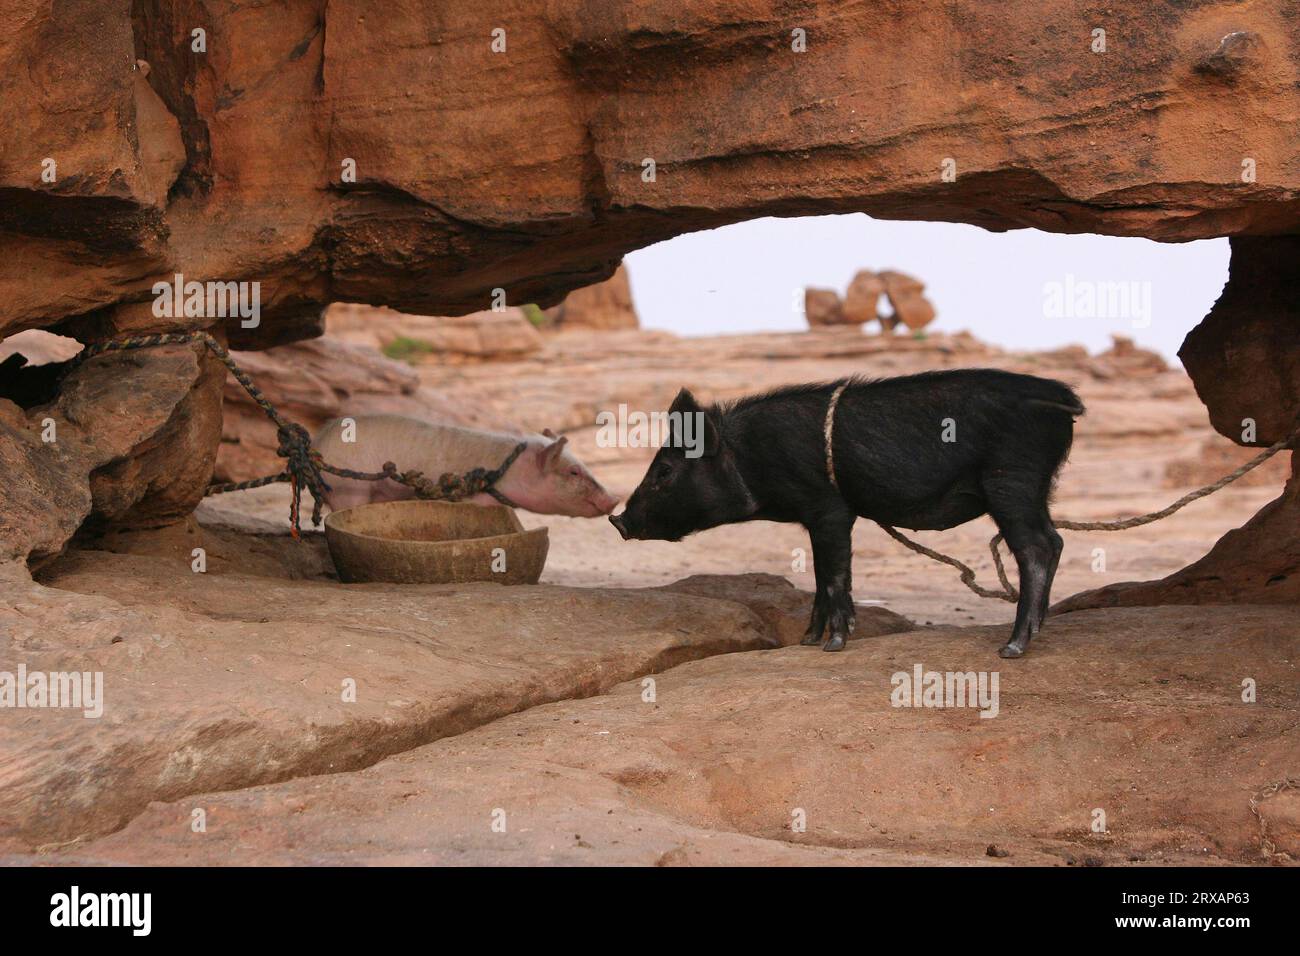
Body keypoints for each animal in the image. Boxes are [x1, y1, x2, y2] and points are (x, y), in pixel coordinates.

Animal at [610, 369, 1085, 659]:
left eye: (665, 469)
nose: (617, 521)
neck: (750, 455)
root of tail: (1063, 400)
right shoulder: (824, 516)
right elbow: (823, 576)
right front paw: (806, 641)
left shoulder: (829, 508)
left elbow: (834, 573)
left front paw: (832, 645)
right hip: (1035, 487)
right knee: (1055, 540)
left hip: (1013, 480)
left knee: (1037, 547)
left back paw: (1012, 647)